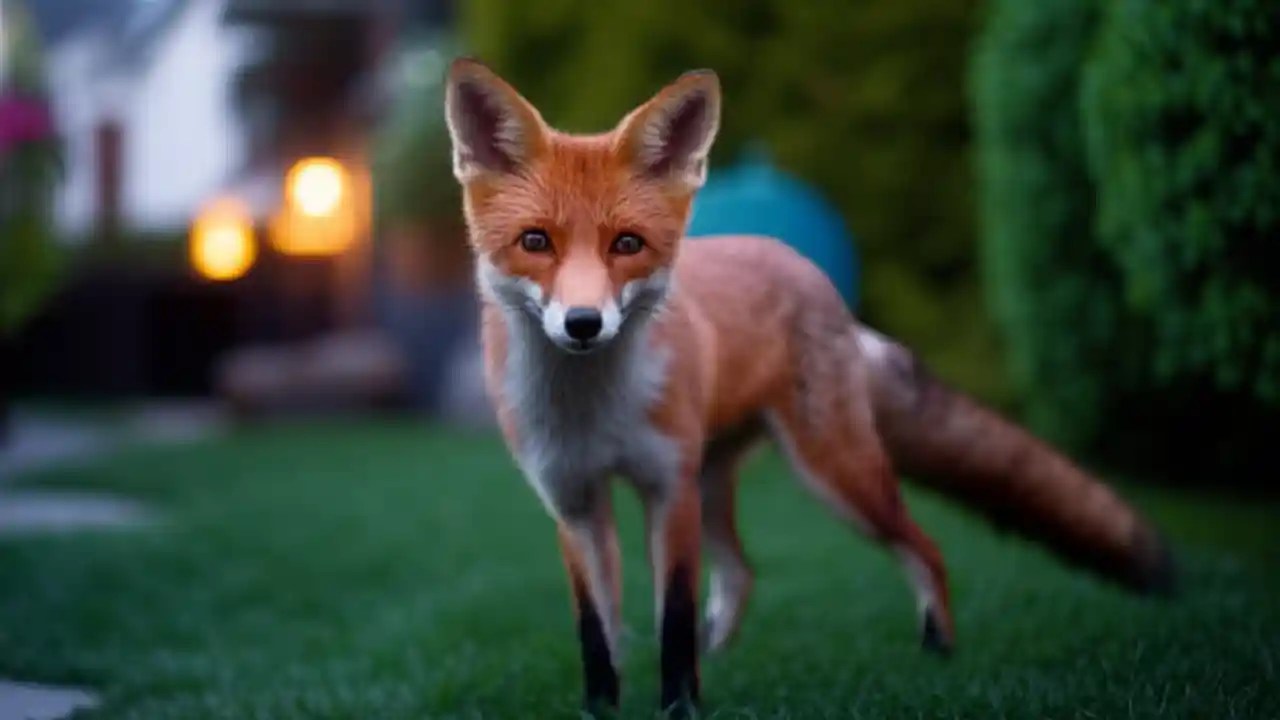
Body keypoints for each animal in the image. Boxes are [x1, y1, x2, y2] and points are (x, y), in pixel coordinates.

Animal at [443, 58, 1174, 715]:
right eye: (535, 242)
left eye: (627, 244)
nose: (584, 323)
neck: (590, 407)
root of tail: (806, 270)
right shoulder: (574, 502)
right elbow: (598, 634)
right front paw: (603, 707)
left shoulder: (667, 488)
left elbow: (673, 618)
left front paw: (680, 705)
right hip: (717, 483)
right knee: (742, 573)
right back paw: (722, 651)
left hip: (833, 474)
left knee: (925, 549)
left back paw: (938, 650)